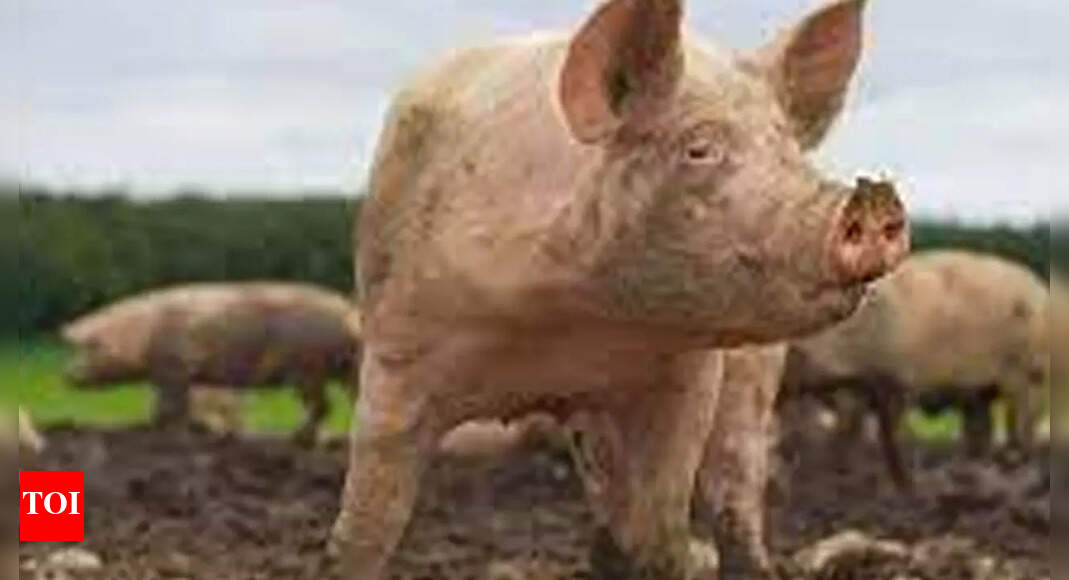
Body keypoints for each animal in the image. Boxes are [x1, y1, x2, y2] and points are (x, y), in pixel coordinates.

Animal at [60, 283, 362, 447]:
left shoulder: (175, 365)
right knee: (352, 399)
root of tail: (349, 314)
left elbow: (172, 405)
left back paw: (297, 440)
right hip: (344, 367)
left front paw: (170, 435)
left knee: (322, 405)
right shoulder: (166, 372)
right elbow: (164, 405)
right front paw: (157, 428)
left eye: (89, 348)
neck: (141, 335)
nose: (66, 376)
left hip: (308, 365)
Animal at [330, 0, 909, 578]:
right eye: (698, 148)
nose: (874, 195)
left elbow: (660, 528)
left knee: (736, 478)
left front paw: (675, 553)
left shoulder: (686, 378)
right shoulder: (395, 354)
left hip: (756, 373)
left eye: (789, 149)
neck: (564, 325)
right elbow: (366, 526)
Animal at [784, 250, 1050, 491]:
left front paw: (898, 486)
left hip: (1027, 374)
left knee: (1021, 423)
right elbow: (850, 432)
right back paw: (974, 470)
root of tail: (1038, 289)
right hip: (978, 391)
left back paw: (1017, 467)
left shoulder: (892, 378)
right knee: (980, 427)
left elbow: (883, 435)